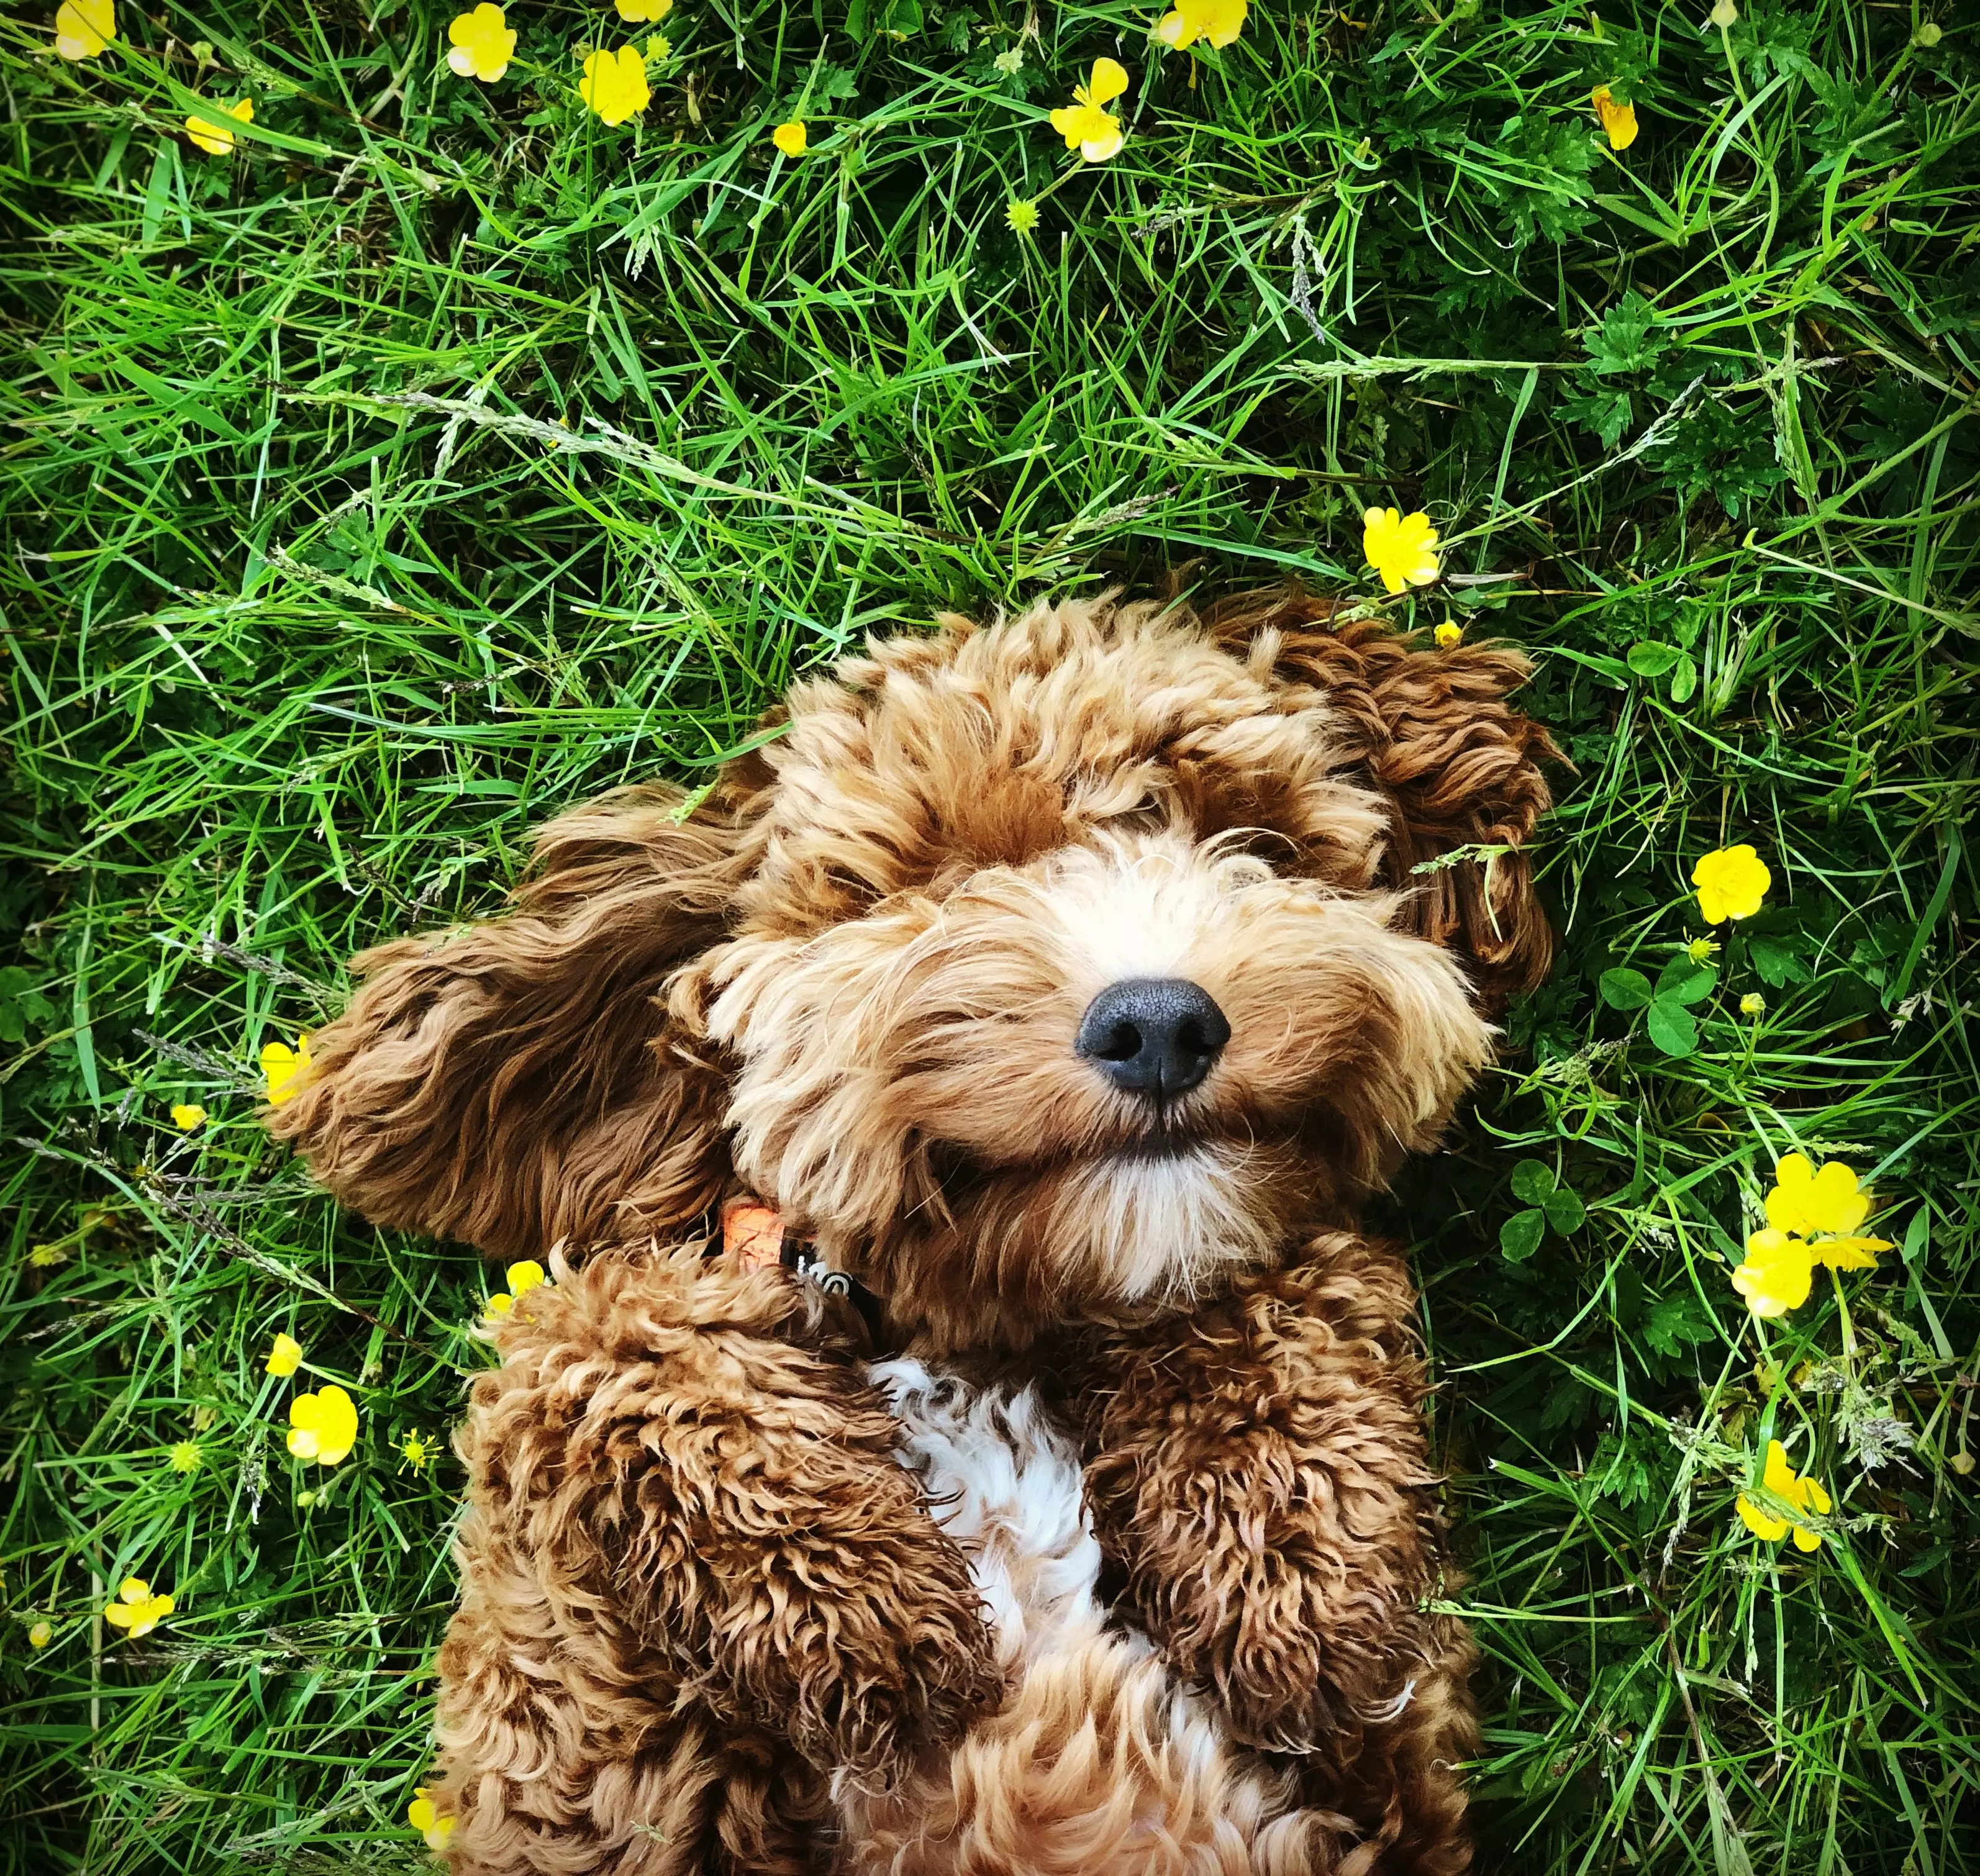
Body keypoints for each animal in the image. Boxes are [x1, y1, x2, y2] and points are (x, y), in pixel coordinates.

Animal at [267, 589, 1560, 1876]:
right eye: (930, 882)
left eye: (1250, 839)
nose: (1157, 1023)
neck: (967, 1360)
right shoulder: (576, 1751)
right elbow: (587, 1337)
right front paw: (853, 1603)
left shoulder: (1387, 1775)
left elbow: (1299, 1281)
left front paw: (1285, 1561)